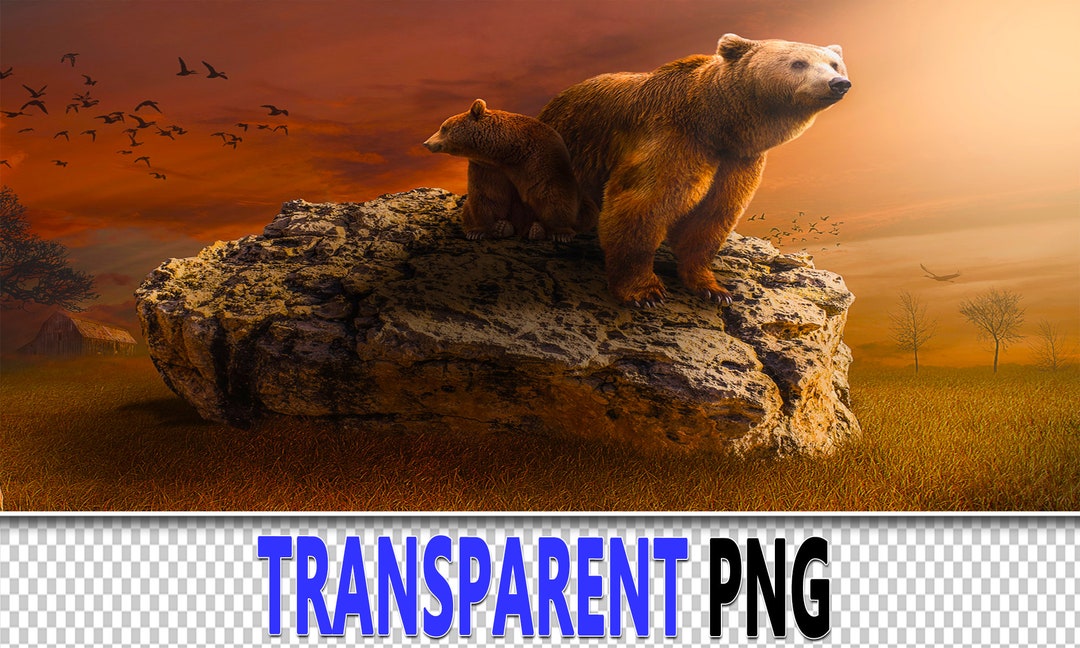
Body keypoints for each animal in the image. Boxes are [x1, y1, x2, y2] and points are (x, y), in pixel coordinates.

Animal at [423, 98, 597, 242]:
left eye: (443, 128)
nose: (426, 143)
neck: (507, 151)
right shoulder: (488, 168)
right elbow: (488, 195)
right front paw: (479, 231)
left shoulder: (542, 159)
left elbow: (552, 191)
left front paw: (561, 233)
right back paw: (503, 228)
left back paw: (537, 230)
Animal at [538, 34, 851, 306]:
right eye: (798, 63)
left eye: (834, 63)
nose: (838, 83)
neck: (718, 124)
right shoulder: (675, 139)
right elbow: (643, 204)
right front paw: (644, 292)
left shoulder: (737, 160)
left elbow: (712, 215)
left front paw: (713, 288)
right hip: (568, 142)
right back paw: (560, 231)